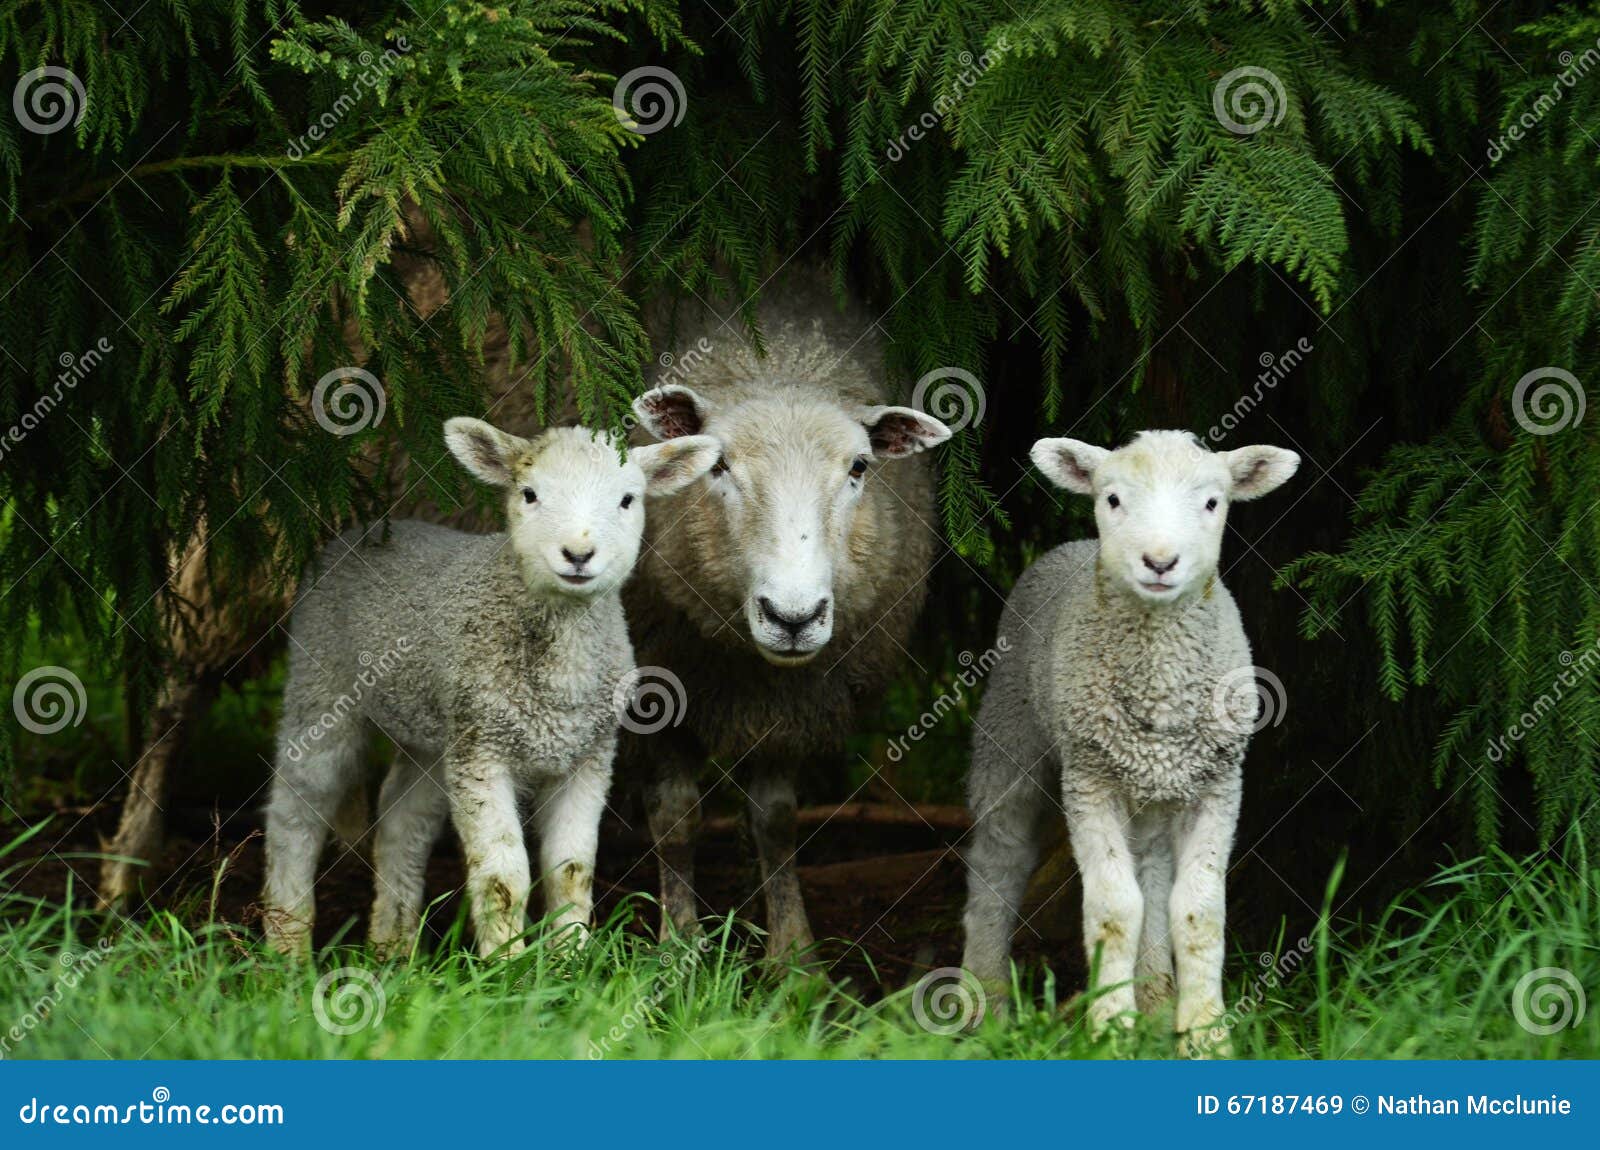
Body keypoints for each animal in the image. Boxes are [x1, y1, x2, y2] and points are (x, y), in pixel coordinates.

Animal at [261, 421, 720, 958]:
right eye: (529, 494)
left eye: (628, 499)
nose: (578, 555)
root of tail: (361, 532)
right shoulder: (483, 751)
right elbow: (505, 878)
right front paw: (507, 964)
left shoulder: (588, 755)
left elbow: (572, 872)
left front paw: (570, 959)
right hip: (322, 681)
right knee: (296, 810)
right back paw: (287, 946)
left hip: (436, 725)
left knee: (402, 817)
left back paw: (392, 945)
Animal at [623, 275, 953, 955]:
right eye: (718, 464)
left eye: (859, 467)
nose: (794, 616)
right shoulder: (655, 678)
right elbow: (674, 818)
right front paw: (676, 947)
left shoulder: (796, 700)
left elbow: (774, 821)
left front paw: (795, 956)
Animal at [960, 430, 1299, 1048]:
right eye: (1113, 498)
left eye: (1212, 502)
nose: (1160, 562)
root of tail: (1070, 545)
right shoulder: (1090, 777)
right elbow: (1115, 907)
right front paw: (1110, 1027)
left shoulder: (1218, 782)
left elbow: (1197, 909)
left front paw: (1205, 1032)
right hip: (1008, 730)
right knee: (1000, 857)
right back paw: (986, 1000)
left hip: (1153, 788)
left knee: (1154, 873)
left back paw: (1157, 1000)